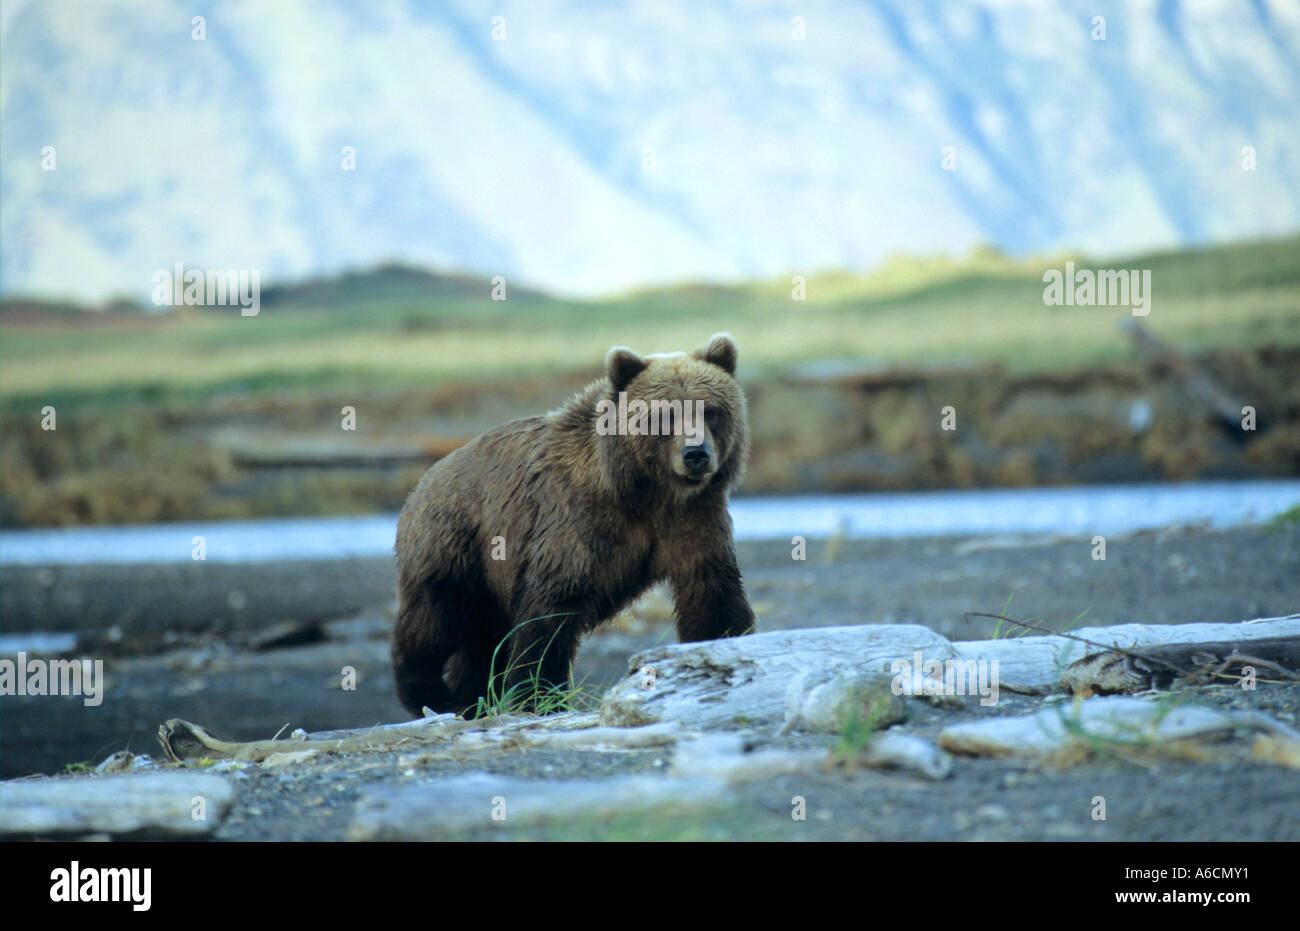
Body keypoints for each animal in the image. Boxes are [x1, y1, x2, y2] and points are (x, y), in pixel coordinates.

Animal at [392, 332, 756, 717]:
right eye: (665, 414)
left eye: (710, 410)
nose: (696, 454)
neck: (647, 493)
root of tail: (424, 480)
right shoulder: (573, 525)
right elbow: (549, 614)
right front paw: (540, 696)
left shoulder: (694, 521)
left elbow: (712, 594)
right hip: (458, 544)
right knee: (435, 620)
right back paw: (431, 692)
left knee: (483, 640)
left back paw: (472, 697)